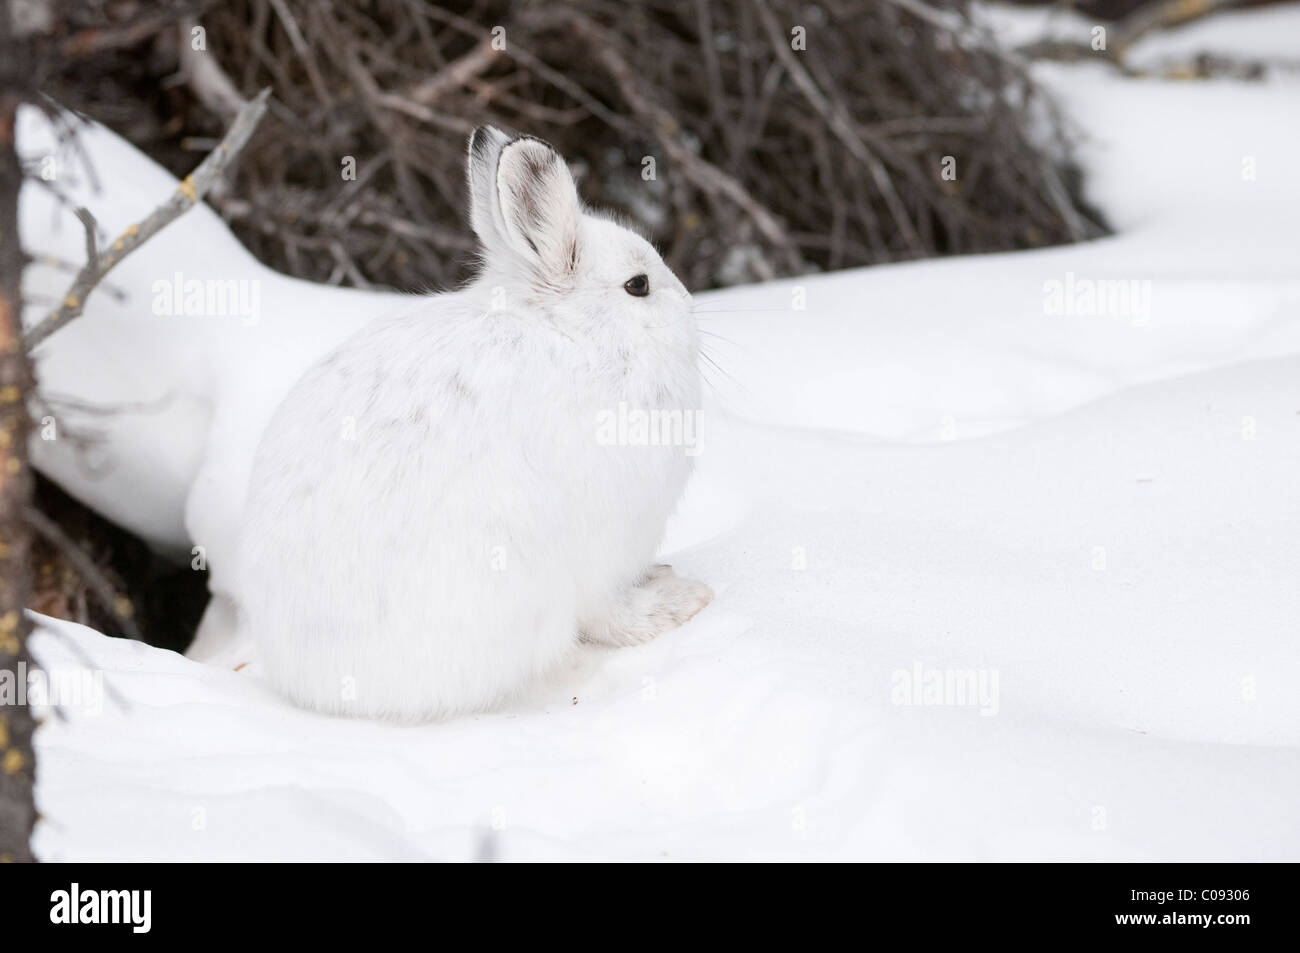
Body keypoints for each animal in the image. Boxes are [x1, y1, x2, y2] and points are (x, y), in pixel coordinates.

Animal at [237, 126, 712, 720]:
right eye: (638, 285)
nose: (692, 307)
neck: (574, 336)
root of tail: (320, 687)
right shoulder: (608, 540)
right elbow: (611, 611)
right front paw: (680, 602)